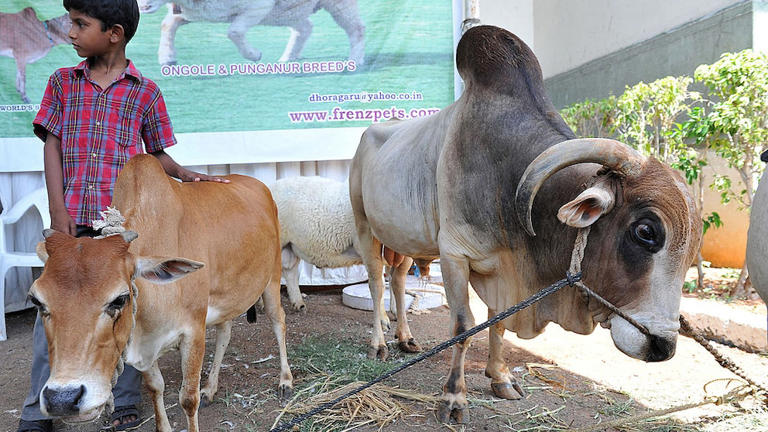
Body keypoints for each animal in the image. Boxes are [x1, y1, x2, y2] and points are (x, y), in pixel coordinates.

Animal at [27, 154, 293, 432]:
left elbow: (188, 398)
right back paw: (210, 387)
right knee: (225, 332)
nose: (63, 399)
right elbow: (156, 388)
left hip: (272, 280)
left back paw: (285, 380)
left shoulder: (193, 332)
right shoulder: (142, 343)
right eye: (37, 301)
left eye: (120, 299)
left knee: (279, 321)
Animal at [136, 0, 365, 66]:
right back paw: (287, 58)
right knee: (305, 28)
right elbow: (167, 24)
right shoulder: (198, 11)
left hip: (339, 5)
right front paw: (167, 57)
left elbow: (234, 31)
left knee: (357, 29)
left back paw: (354, 61)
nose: (142, 7)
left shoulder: (257, 6)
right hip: (284, 12)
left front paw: (254, 55)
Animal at [349, 25, 701, 423]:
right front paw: (454, 397)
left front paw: (500, 378)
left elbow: (498, 323)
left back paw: (405, 338)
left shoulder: (501, 274)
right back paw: (378, 343)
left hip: (408, 240)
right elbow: (463, 326)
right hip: (364, 226)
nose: (662, 346)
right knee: (375, 283)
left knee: (396, 279)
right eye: (645, 232)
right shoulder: (454, 255)